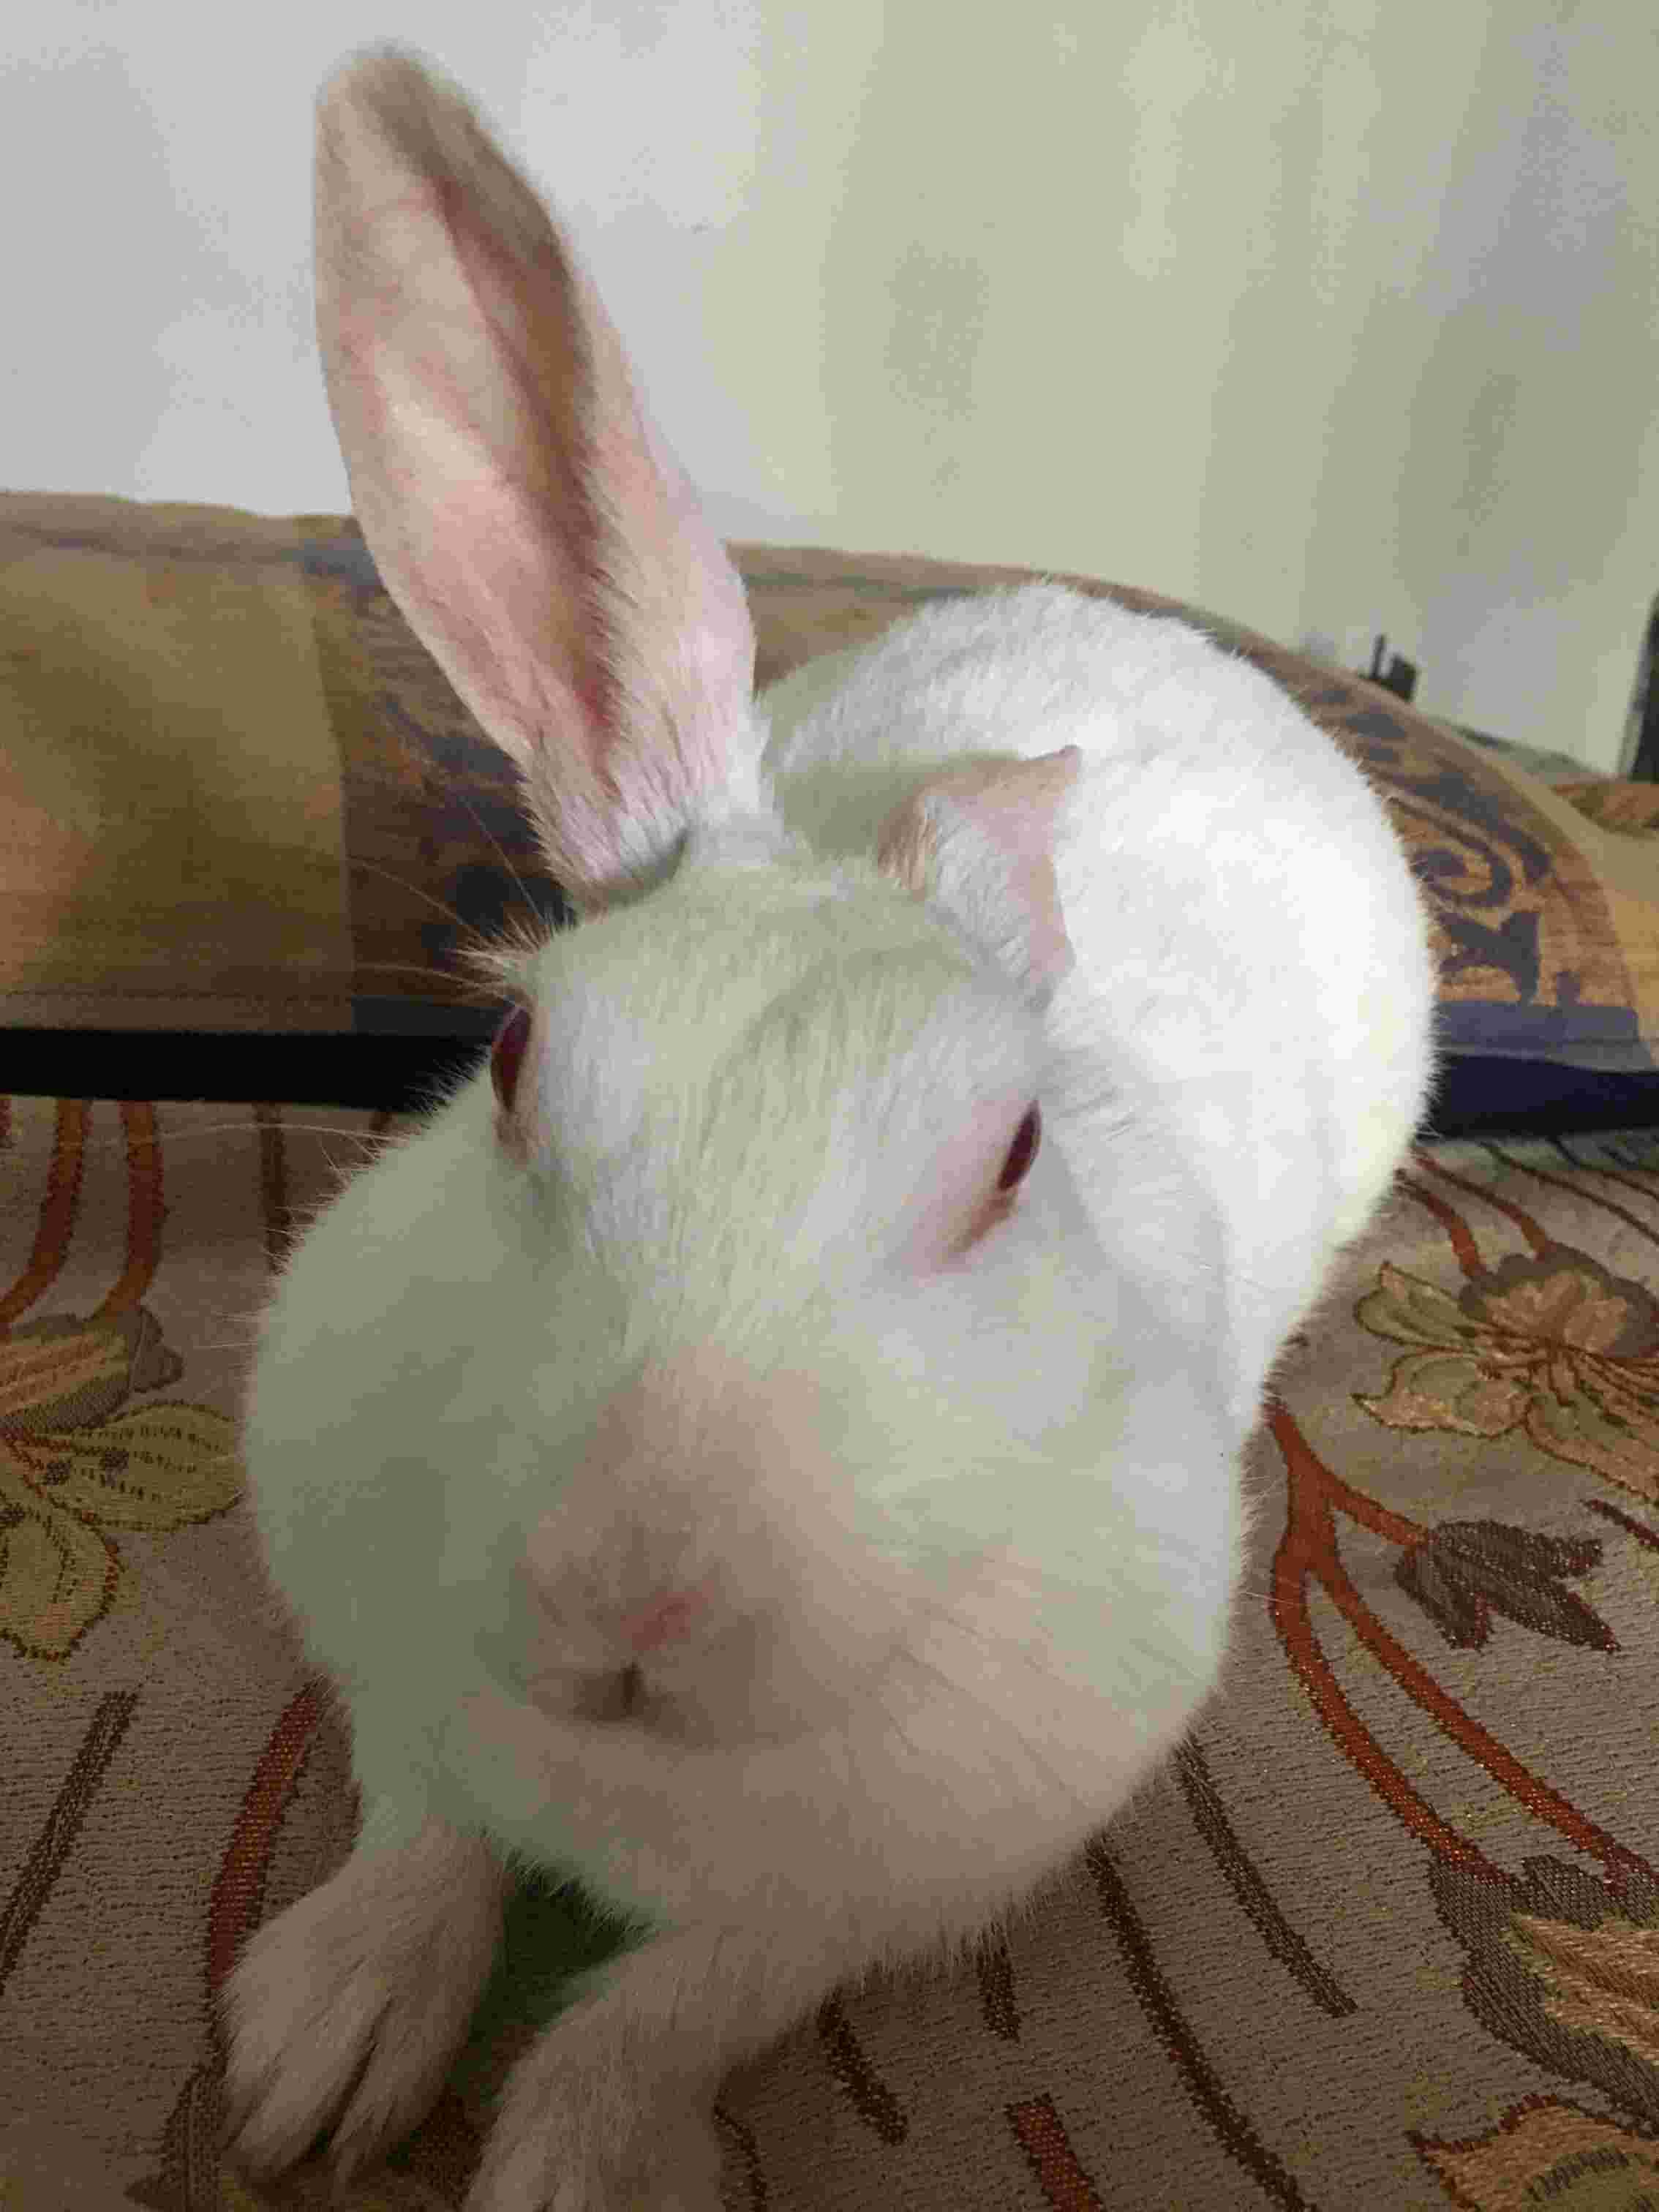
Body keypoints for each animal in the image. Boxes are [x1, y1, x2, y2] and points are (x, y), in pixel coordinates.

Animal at [219, 45, 1436, 2212]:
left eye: (1012, 1162)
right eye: (512, 1064)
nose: (623, 1597)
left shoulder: (892, 1890)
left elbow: (680, 2003)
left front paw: (578, 2164)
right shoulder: (386, 1672)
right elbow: (417, 1831)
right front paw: (314, 2055)